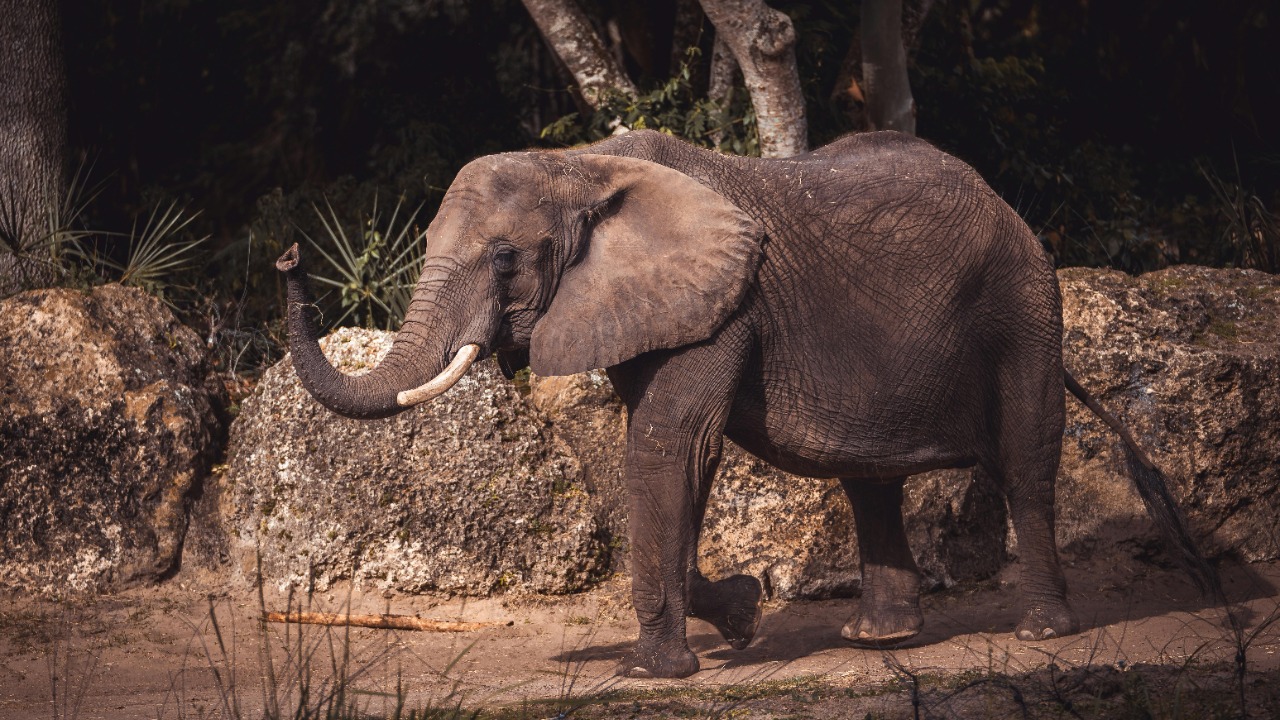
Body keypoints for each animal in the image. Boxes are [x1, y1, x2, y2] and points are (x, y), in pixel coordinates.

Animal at [275, 129, 1213, 679]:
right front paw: (739, 616)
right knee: (868, 479)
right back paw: (879, 640)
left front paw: (659, 671)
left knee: (1023, 461)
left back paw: (1042, 635)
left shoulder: (727, 299)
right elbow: (676, 454)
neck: (585, 160)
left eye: (506, 258)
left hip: (1023, 306)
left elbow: (671, 445)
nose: (288, 257)